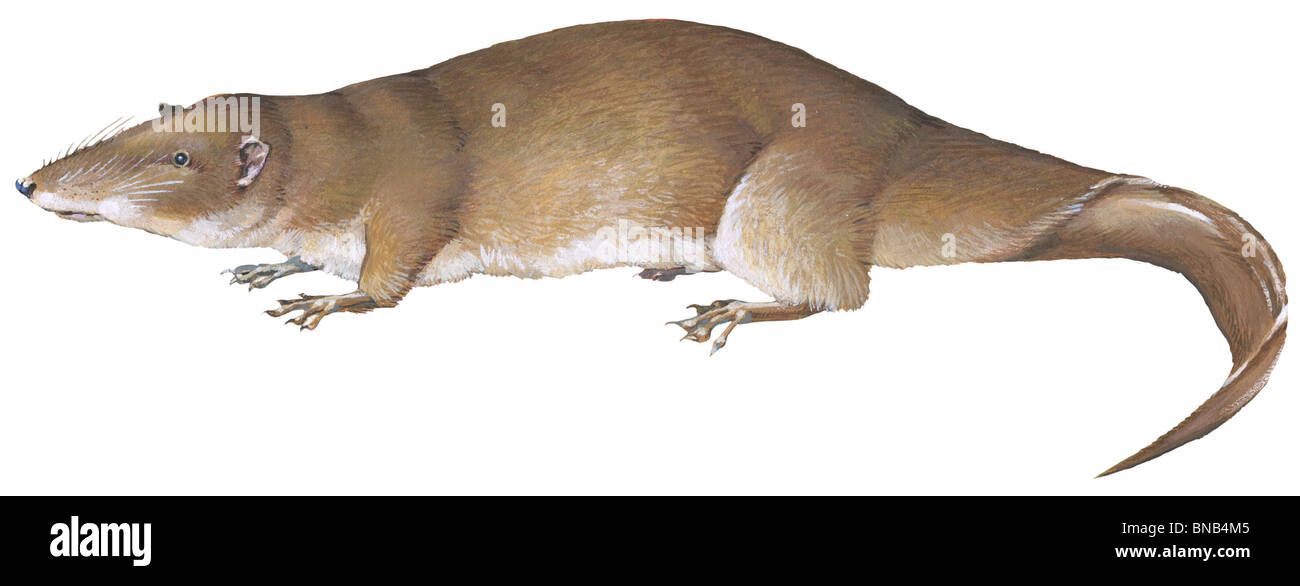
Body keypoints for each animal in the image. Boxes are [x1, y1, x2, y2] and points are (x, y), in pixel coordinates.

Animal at [15, 20, 1286, 476]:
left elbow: (389, 278)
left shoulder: (411, 201)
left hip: (780, 196)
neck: (353, 134)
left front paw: (327, 303)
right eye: (123, 131)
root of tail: (898, 131)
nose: (29, 179)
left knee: (842, 295)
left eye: (174, 160)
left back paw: (732, 305)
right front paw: (277, 265)